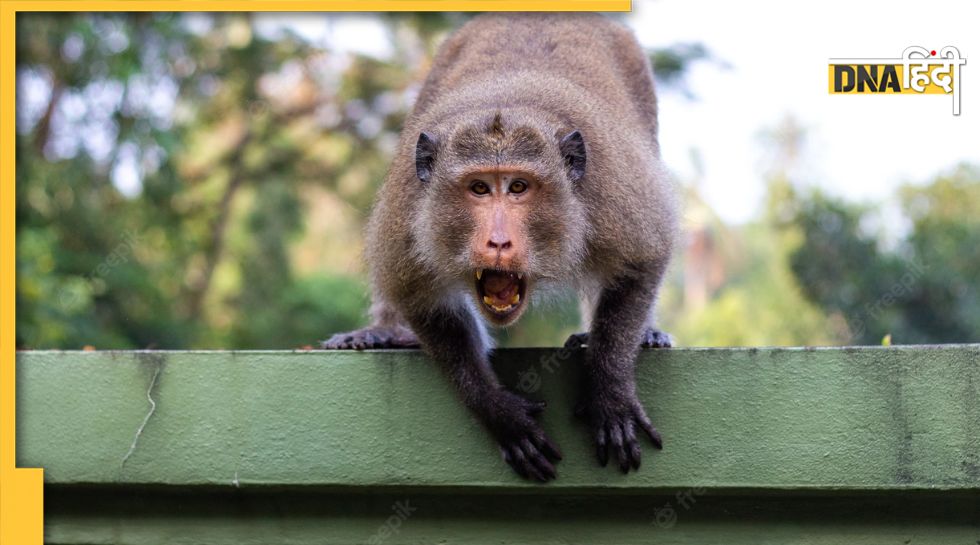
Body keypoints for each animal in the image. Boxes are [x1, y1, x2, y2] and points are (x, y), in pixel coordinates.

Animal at [323, 12, 677, 482]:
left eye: (518, 187)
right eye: (478, 188)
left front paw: (610, 389)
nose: (498, 240)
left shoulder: (612, 192)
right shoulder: (408, 209)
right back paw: (386, 331)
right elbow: (418, 296)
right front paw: (497, 410)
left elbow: (641, 260)